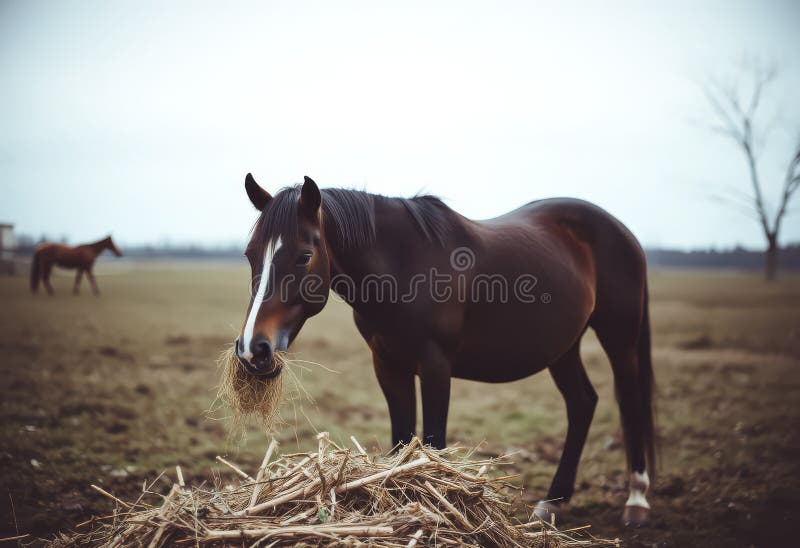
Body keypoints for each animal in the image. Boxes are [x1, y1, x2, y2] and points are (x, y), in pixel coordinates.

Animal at [235, 174, 655, 526]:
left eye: (304, 255)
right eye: (250, 254)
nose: (254, 349)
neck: (404, 266)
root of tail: (620, 230)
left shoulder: (436, 365)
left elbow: (434, 440)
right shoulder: (388, 364)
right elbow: (402, 439)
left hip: (619, 338)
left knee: (629, 401)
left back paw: (636, 500)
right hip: (562, 348)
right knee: (582, 403)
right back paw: (552, 502)